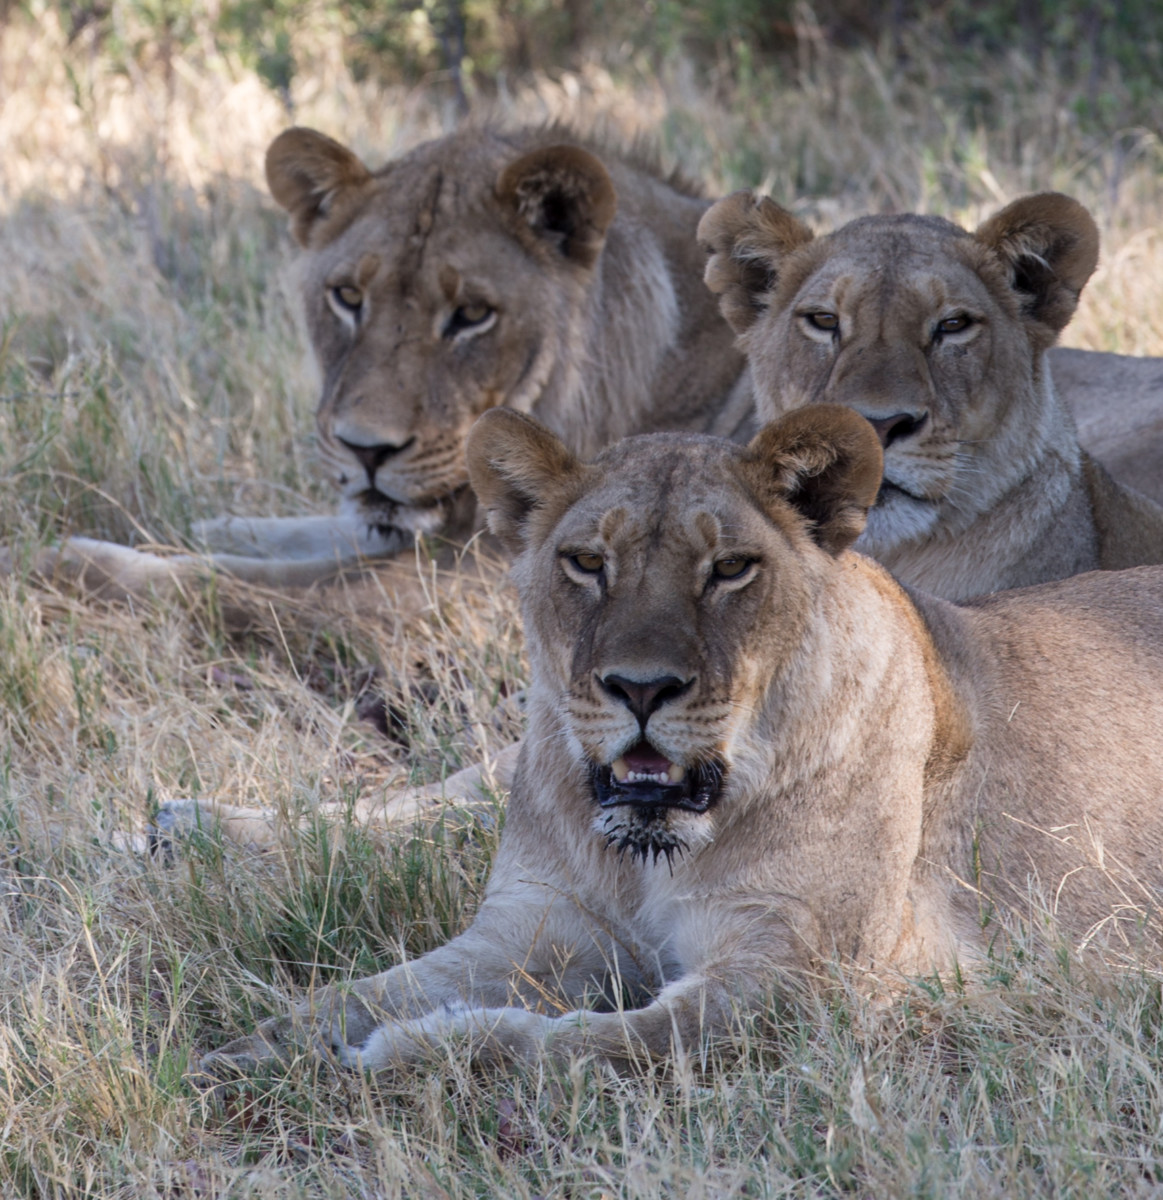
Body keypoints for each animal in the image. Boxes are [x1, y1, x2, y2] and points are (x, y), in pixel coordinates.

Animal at [201, 405, 1163, 1077]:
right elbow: (363, 991)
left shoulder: (799, 983)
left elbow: (570, 1045)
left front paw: (411, 1051)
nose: (639, 687)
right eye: (586, 563)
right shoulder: (536, 924)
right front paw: (255, 1048)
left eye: (730, 568)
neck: (649, 860)